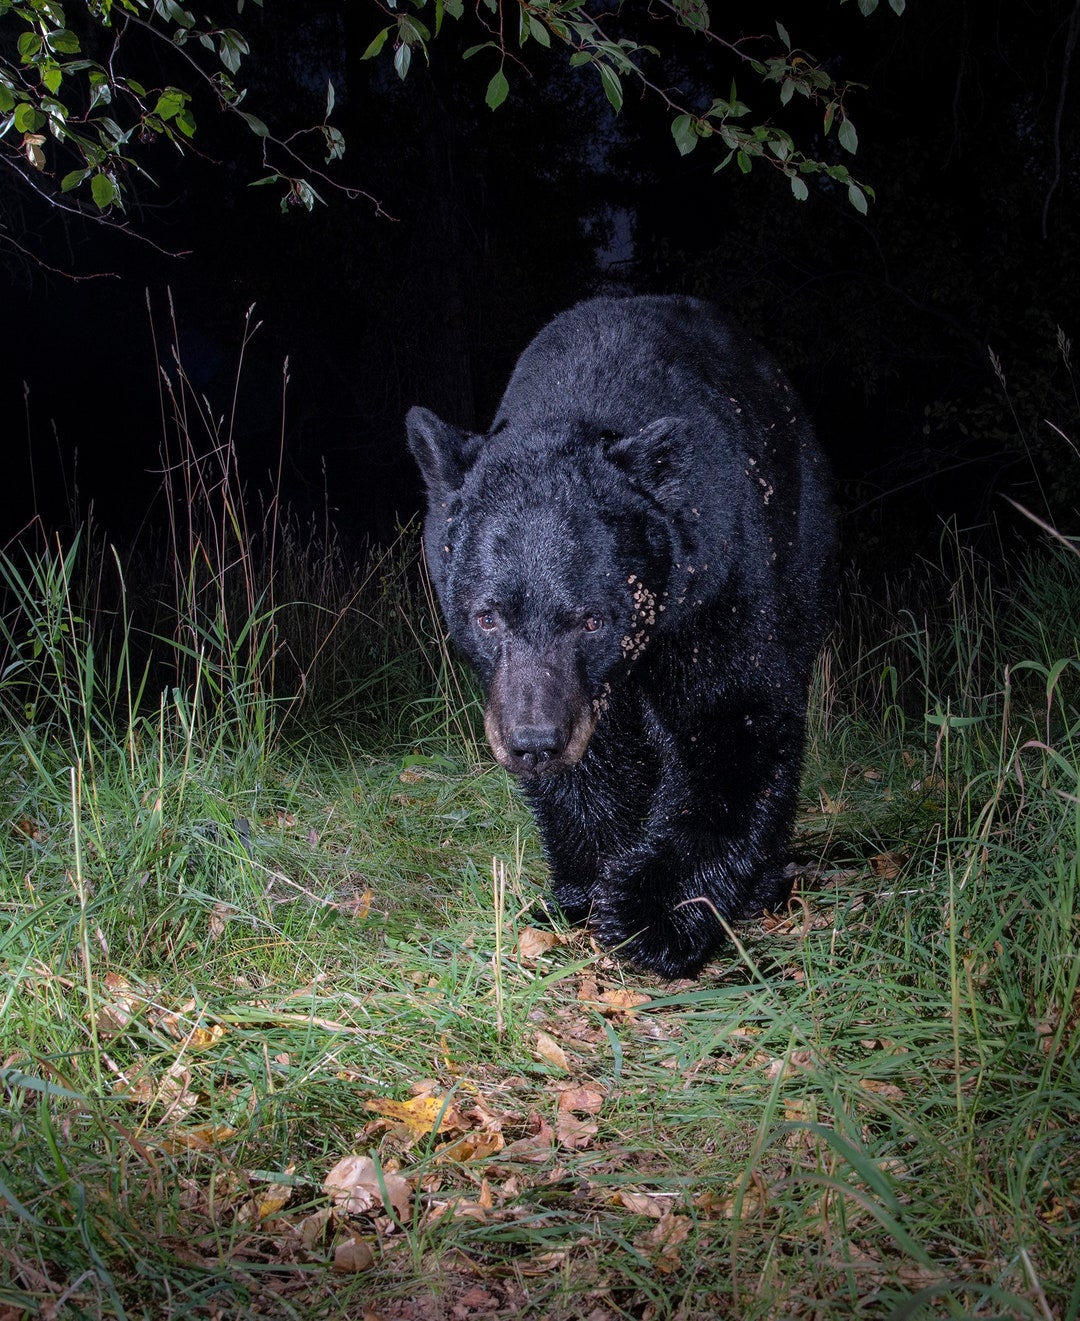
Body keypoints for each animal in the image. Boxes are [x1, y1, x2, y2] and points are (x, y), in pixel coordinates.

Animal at [406, 294, 837, 979]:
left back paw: (765, 885)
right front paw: (586, 885)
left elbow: (734, 717)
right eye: (487, 616)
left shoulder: (720, 574)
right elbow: (594, 766)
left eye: (592, 619)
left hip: (805, 543)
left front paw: (651, 915)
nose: (533, 743)